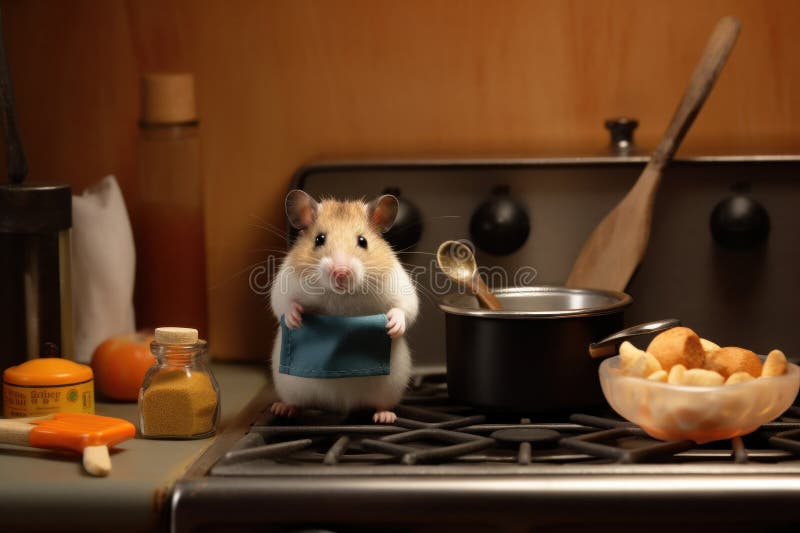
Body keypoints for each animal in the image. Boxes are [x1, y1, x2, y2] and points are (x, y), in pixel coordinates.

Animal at [269, 189, 419, 424]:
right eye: (319, 239)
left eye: (363, 241)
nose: (340, 272)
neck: (341, 295)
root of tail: (340, 406)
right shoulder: (283, 286)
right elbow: (284, 305)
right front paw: (295, 320)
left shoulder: (402, 288)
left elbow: (404, 308)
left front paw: (393, 327)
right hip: (289, 386)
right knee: (295, 402)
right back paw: (282, 410)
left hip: (390, 388)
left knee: (382, 404)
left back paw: (384, 417)